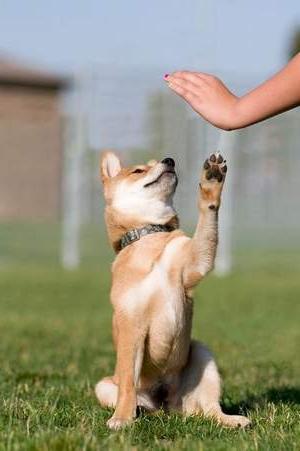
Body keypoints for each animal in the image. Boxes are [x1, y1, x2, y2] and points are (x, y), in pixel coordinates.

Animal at [96, 152, 251, 430]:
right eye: (138, 171)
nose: (169, 160)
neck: (150, 239)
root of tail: (166, 406)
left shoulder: (194, 263)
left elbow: (205, 228)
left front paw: (212, 181)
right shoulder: (131, 325)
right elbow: (127, 384)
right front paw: (121, 419)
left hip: (201, 354)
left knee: (209, 409)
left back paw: (231, 420)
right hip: (103, 386)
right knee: (131, 395)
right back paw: (138, 411)